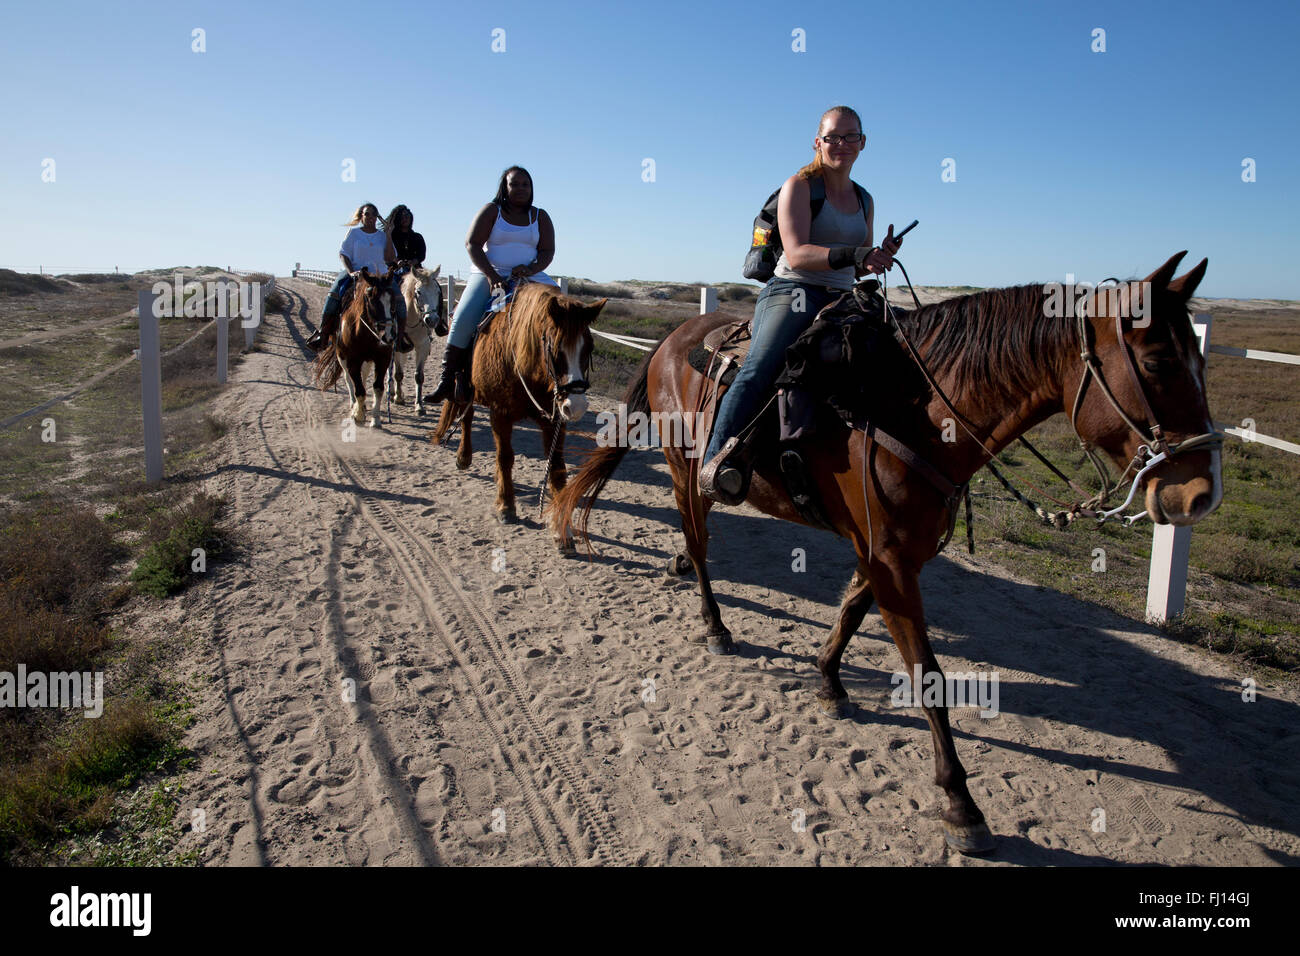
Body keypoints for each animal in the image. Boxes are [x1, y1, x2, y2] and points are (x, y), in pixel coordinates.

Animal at [312, 267, 398, 429]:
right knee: (348, 378)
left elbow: (378, 388)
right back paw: (354, 405)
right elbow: (359, 389)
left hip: (367, 360)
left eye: (393, 299)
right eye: (371, 299)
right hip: (342, 356)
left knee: (363, 375)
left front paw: (375, 420)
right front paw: (357, 416)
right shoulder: (352, 360)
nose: (388, 336)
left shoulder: (382, 359)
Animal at [391, 264, 443, 414]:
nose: (432, 320)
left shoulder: (423, 345)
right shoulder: (397, 346)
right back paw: (392, 393)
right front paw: (398, 398)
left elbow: (418, 376)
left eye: (438, 291)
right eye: (418, 292)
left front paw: (419, 405)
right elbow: (398, 373)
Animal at [429, 281, 606, 528]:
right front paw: (506, 505)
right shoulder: (500, 414)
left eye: (588, 348)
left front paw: (560, 526)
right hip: (463, 389)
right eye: (555, 348)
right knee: (467, 418)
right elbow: (505, 457)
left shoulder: (555, 420)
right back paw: (464, 456)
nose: (577, 405)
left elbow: (557, 466)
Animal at [549, 252, 1221, 854]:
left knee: (697, 537)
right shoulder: (893, 559)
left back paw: (681, 571)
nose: (1200, 493)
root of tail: (672, 338)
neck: (914, 409)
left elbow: (851, 611)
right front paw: (961, 803)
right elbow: (928, 674)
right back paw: (714, 622)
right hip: (686, 467)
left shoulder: (889, 553)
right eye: (1158, 361)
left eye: (1200, 363)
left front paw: (828, 680)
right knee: (698, 534)